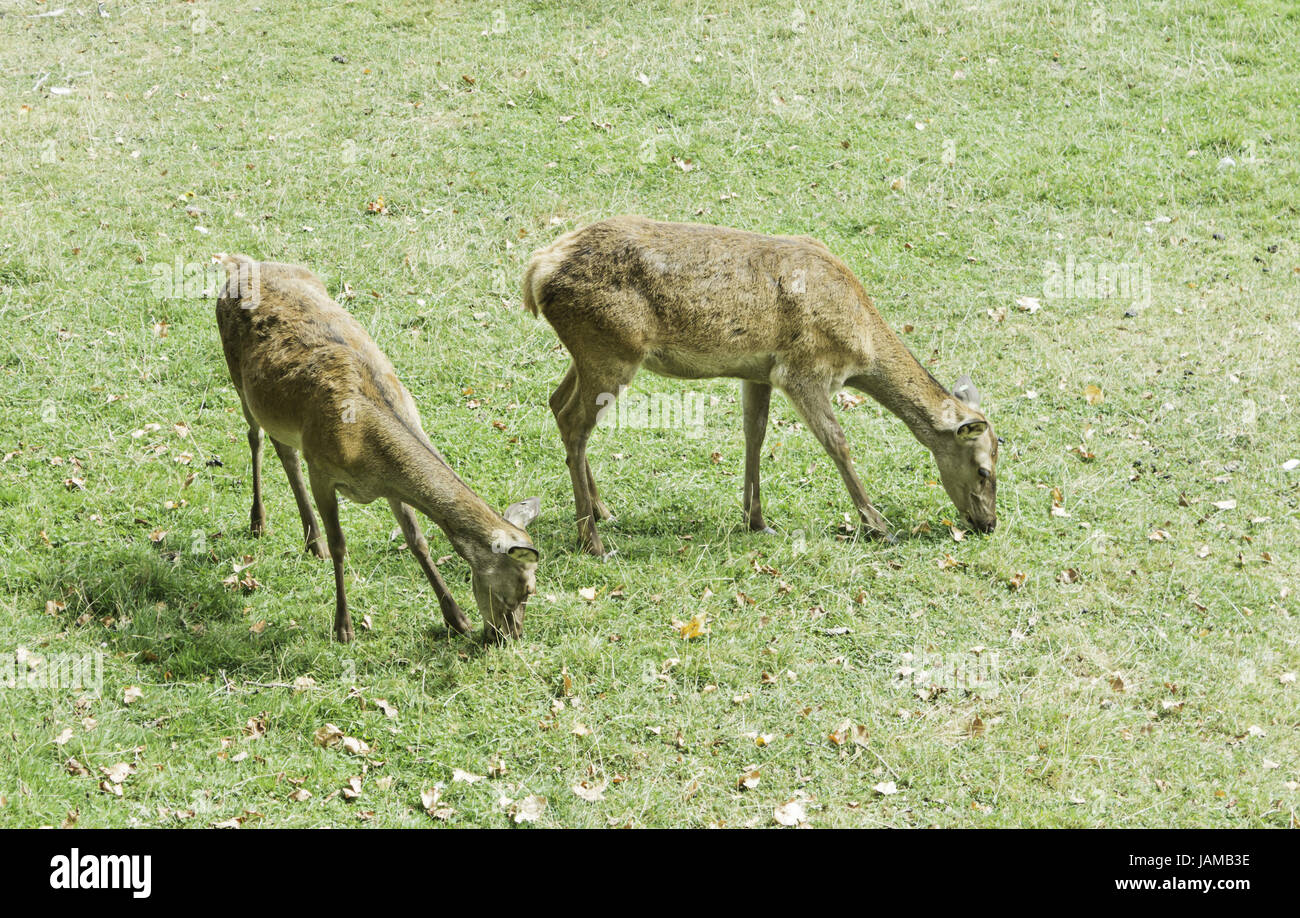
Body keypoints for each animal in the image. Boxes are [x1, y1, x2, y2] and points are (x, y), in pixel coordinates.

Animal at [215, 255, 540, 643]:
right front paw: (343, 626)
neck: (365, 451)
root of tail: (240, 264)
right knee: (257, 438)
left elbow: (418, 540)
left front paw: (456, 619)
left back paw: (311, 541)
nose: (509, 636)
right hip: (238, 379)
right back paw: (260, 522)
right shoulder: (321, 467)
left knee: (285, 450)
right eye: (524, 589)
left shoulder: (391, 486)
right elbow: (341, 544)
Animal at [523, 216, 997, 557]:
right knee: (575, 422)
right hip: (611, 351)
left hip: (588, 353)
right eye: (984, 470)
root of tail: (537, 270)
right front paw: (878, 525)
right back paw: (593, 542)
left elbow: (755, 433)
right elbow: (837, 442)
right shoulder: (803, 370)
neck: (860, 341)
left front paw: (757, 520)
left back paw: (602, 510)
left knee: (556, 402)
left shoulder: (758, 372)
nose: (988, 523)